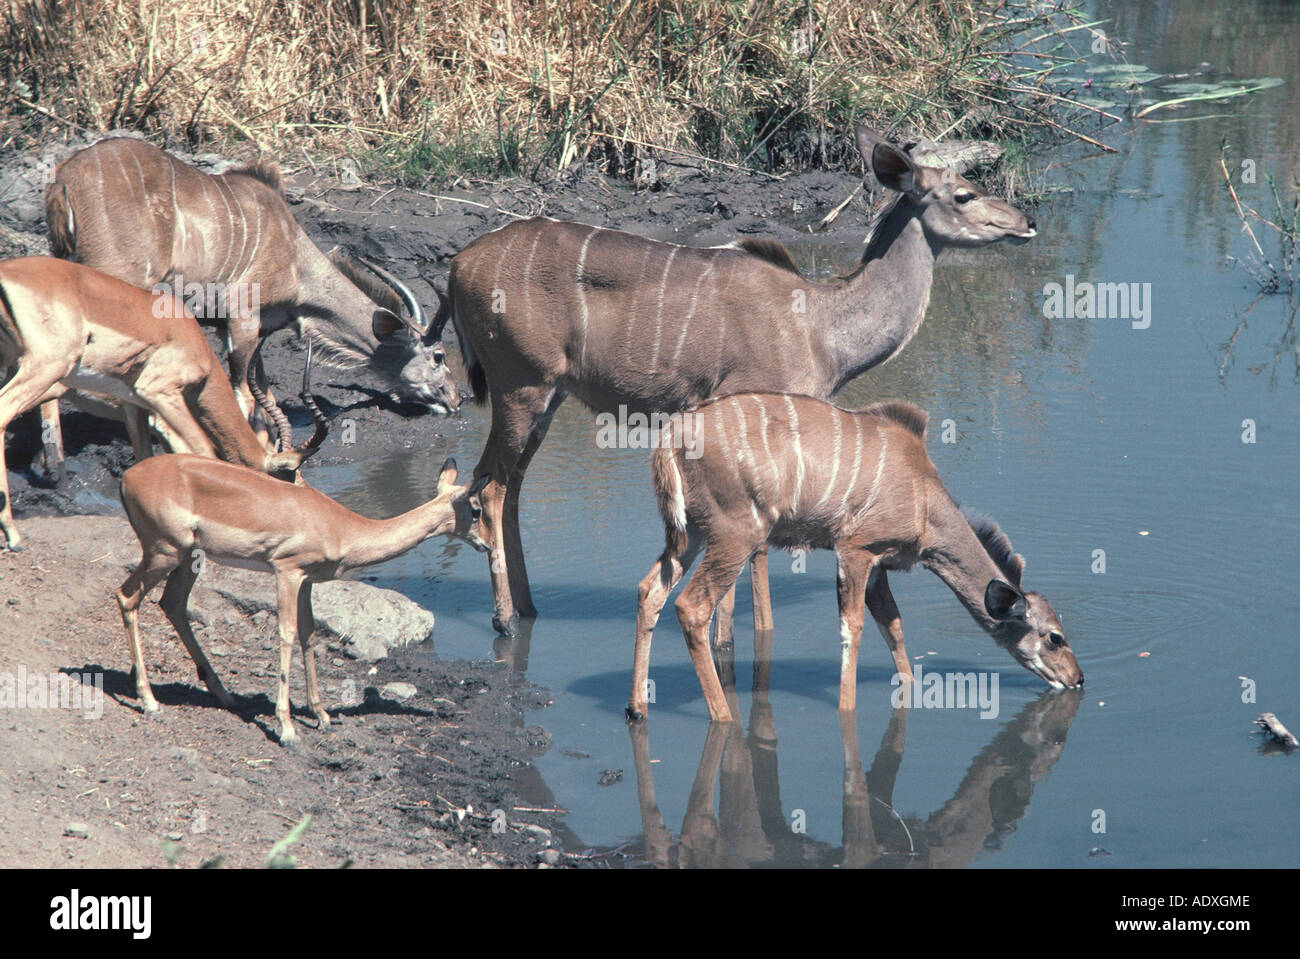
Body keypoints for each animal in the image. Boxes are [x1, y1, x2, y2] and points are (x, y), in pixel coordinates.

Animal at [0, 256, 326, 552]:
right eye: (287, 474)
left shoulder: (133, 405)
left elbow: (145, 457)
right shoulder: (161, 394)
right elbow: (203, 451)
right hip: (46, 368)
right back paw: (15, 537)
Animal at [42, 136, 459, 466]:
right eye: (438, 357)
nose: (455, 400)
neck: (294, 256)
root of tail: (64, 181)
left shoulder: (247, 331)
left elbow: (264, 397)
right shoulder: (241, 320)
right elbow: (242, 393)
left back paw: (56, 465)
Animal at [116, 454, 491, 744]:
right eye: (476, 509)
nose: (488, 544)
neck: (342, 527)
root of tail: (128, 476)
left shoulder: (307, 581)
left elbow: (309, 635)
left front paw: (320, 714)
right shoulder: (287, 572)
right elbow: (287, 633)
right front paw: (286, 728)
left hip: (188, 557)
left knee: (172, 604)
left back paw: (224, 694)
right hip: (164, 553)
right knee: (127, 597)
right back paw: (149, 701)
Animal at [446, 125, 1036, 636]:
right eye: (964, 194)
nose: (1026, 221)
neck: (822, 325)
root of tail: (458, 264)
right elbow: (754, 554)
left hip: (546, 397)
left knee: (506, 483)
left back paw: (528, 608)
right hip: (522, 385)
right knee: (491, 487)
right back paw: (504, 618)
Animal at [627, 393, 1082, 724]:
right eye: (1054, 636)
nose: (1077, 678)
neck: (925, 499)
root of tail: (671, 439)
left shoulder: (880, 566)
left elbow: (892, 625)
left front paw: (911, 687)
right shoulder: (855, 550)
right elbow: (854, 628)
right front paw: (847, 708)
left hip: (690, 536)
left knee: (650, 590)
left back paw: (637, 708)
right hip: (735, 537)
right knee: (691, 606)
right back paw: (722, 715)